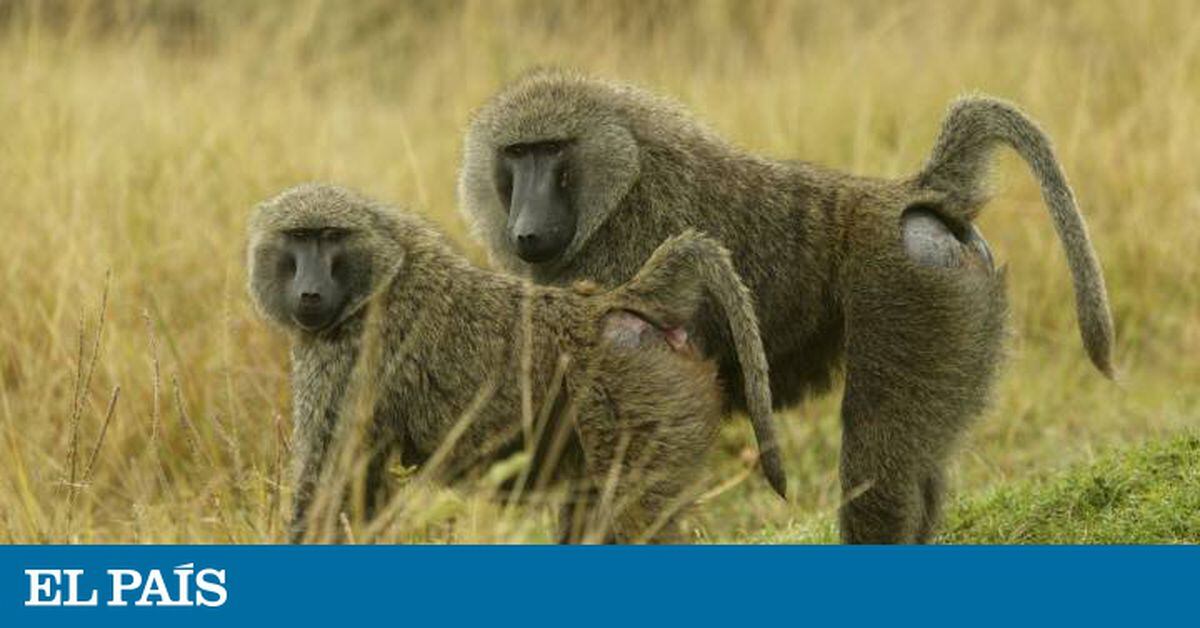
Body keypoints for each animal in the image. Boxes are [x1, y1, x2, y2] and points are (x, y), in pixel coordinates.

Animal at [246, 182, 785, 544]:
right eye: (297, 239)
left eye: (329, 237)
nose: (310, 292)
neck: (381, 276)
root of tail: (612, 305)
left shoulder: (346, 363)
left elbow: (324, 488)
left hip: (634, 401)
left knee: (631, 512)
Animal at [457, 71, 1115, 544]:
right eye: (516, 156)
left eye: (552, 152)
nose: (527, 231)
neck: (622, 180)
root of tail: (911, 198)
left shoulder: (622, 259)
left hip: (911, 295)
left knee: (879, 462)